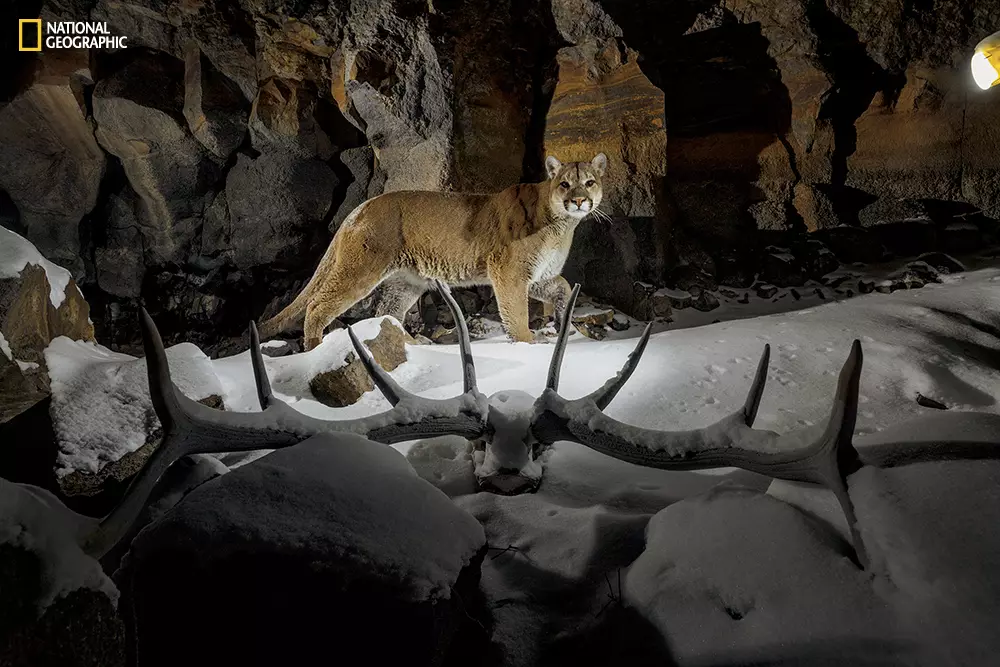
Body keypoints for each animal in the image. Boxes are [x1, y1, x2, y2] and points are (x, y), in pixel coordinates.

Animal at [258, 152, 604, 350]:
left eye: (589, 182)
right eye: (564, 184)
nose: (578, 201)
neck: (561, 223)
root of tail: (361, 207)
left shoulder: (539, 274)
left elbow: (563, 287)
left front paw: (564, 320)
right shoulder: (509, 273)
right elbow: (516, 313)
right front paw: (527, 345)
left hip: (406, 281)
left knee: (387, 312)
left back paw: (414, 344)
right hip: (362, 267)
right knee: (318, 305)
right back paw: (314, 349)